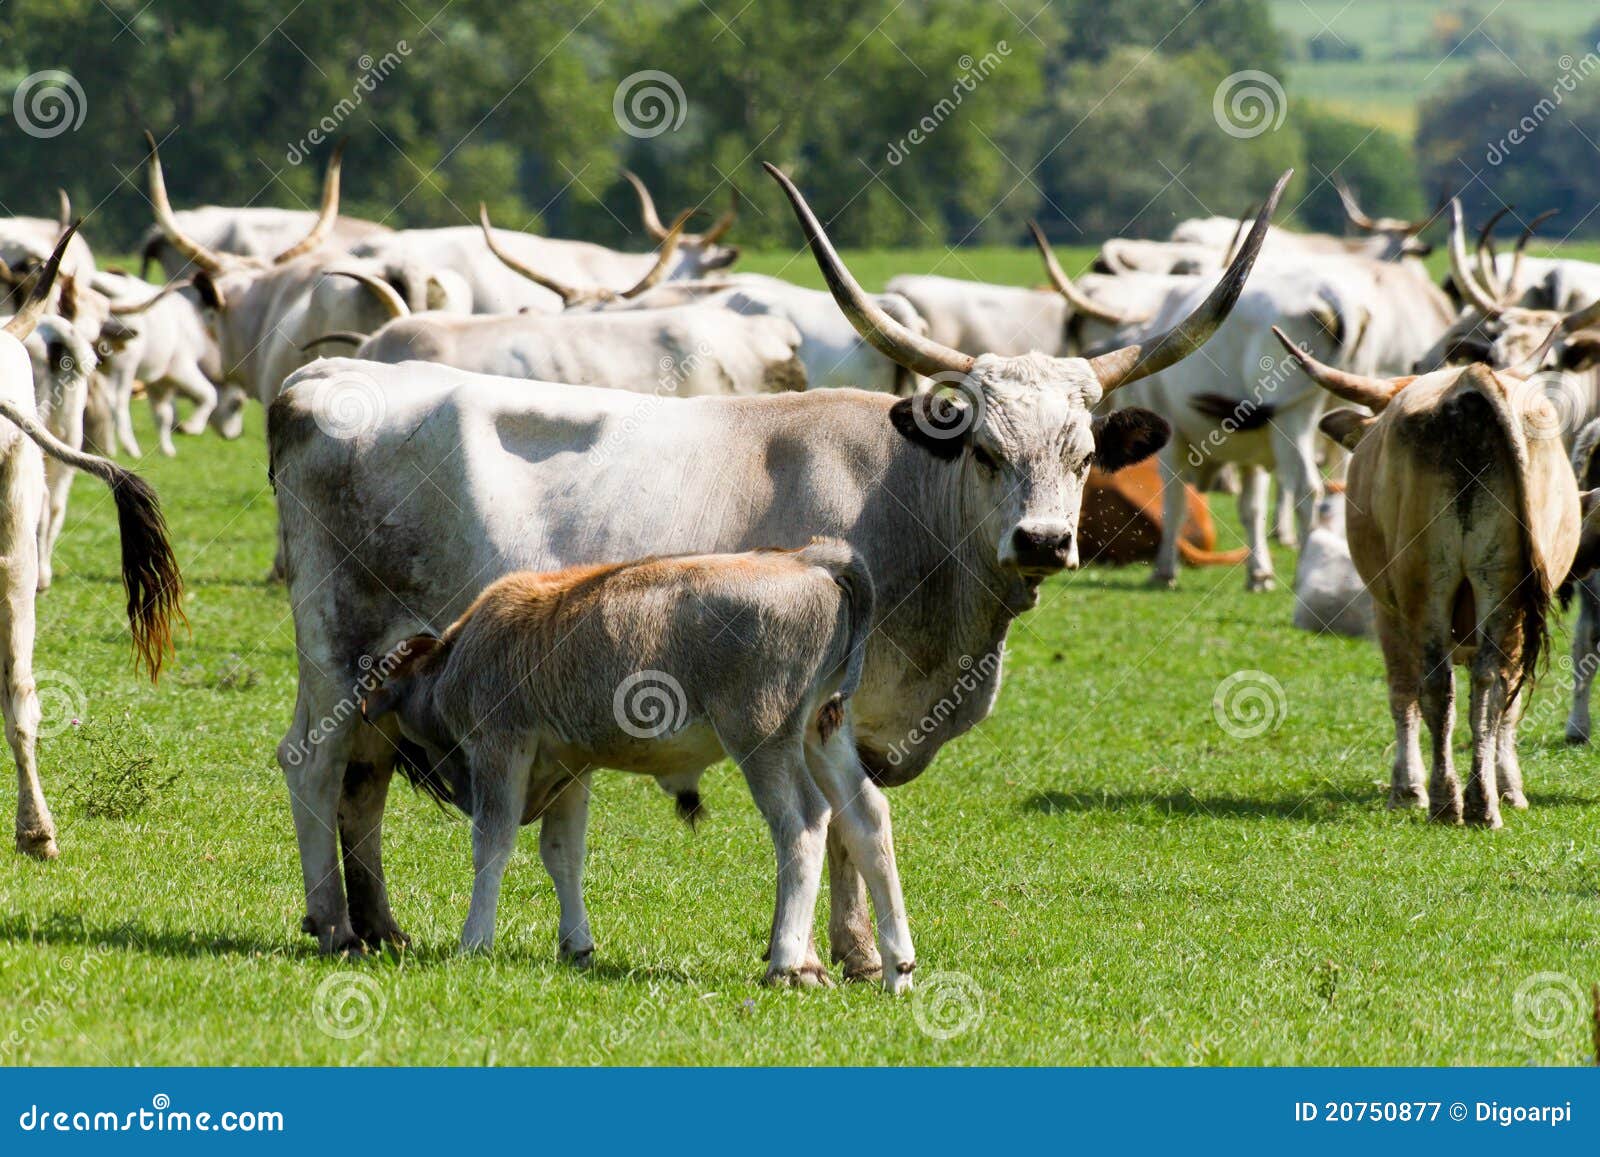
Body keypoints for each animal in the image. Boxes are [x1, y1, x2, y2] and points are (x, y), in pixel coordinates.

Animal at [359, 539, 913, 989]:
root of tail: (808, 558)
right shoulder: (570, 768)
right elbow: (561, 853)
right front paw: (575, 945)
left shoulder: (501, 746)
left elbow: (492, 845)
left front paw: (474, 941)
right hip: (822, 734)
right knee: (866, 818)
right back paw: (897, 967)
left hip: (763, 739)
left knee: (803, 824)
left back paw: (786, 962)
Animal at [1274, 328, 1580, 826]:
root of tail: (1467, 383)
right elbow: (1505, 707)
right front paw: (1510, 788)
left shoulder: (1386, 609)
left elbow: (1403, 693)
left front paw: (1406, 789)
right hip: (1503, 583)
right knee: (1490, 682)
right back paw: (1482, 803)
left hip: (1424, 582)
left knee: (1436, 684)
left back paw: (1443, 800)